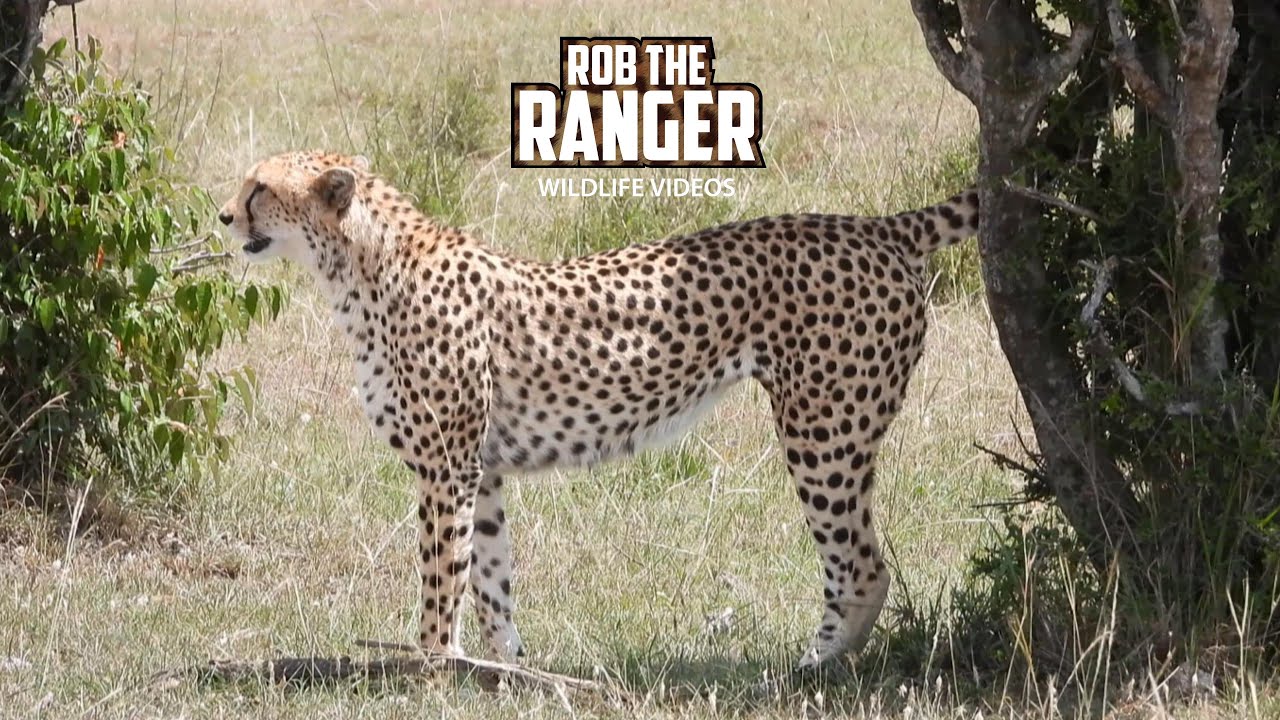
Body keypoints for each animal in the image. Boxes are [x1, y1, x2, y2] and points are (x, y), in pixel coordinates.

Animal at [217, 150, 979, 668]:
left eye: (261, 188)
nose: (224, 216)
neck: (360, 266)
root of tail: (873, 226)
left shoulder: (446, 467)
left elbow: (442, 576)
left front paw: (431, 669)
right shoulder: (481, 469)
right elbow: (489, 576)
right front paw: (503, 669)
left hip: (823, 431)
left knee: (863, 564)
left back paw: (817, 666)